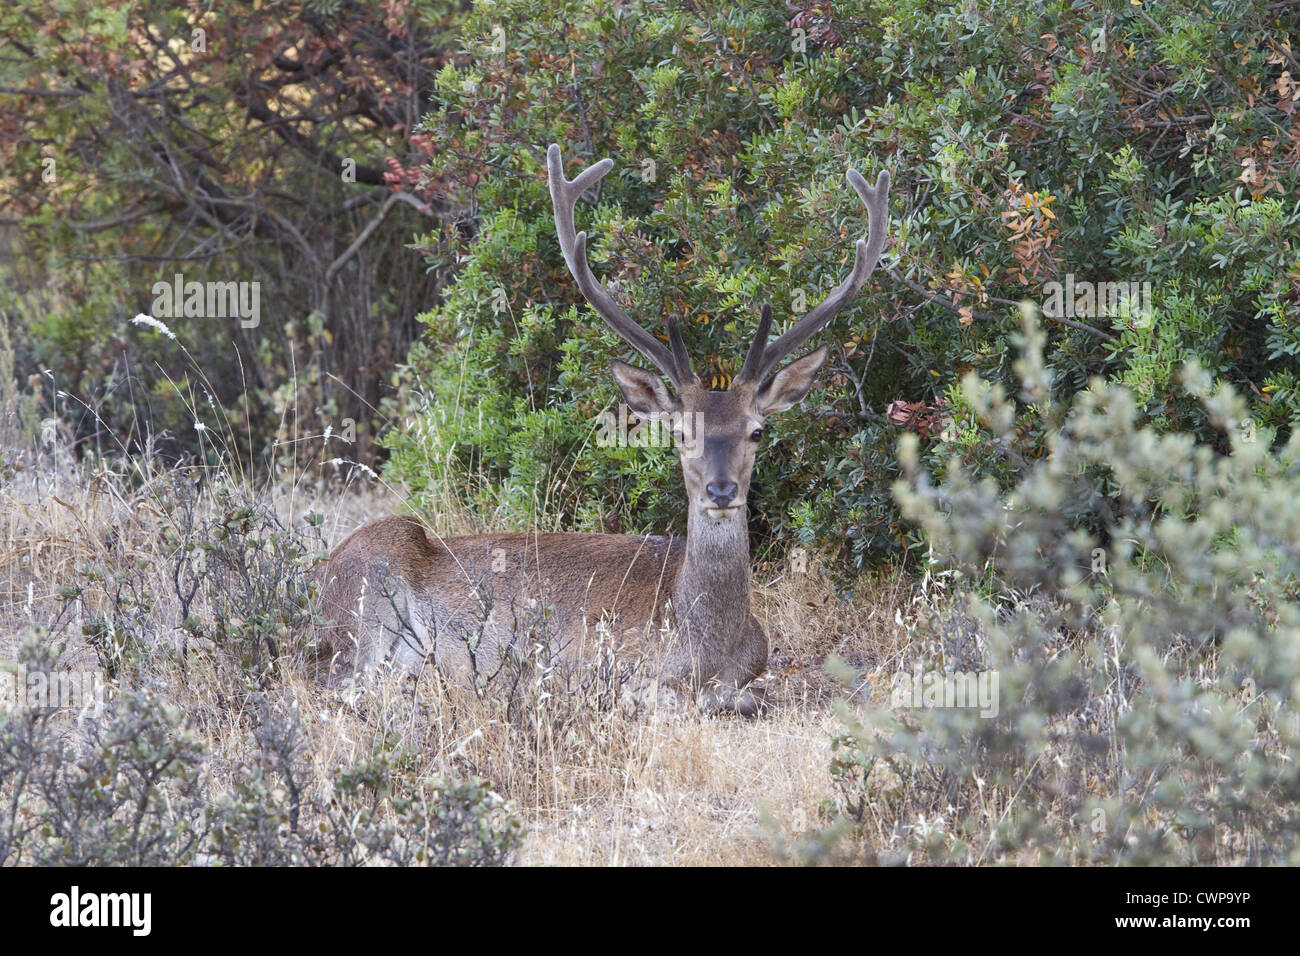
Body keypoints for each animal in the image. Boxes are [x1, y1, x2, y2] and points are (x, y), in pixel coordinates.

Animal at [312, 143, 890, 716]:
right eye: (681, 433)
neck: (705, 650)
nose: (721, 491)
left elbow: (746, 698)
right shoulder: (593, 664)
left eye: (757, 432)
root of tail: (320, 579)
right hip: (365, 609)